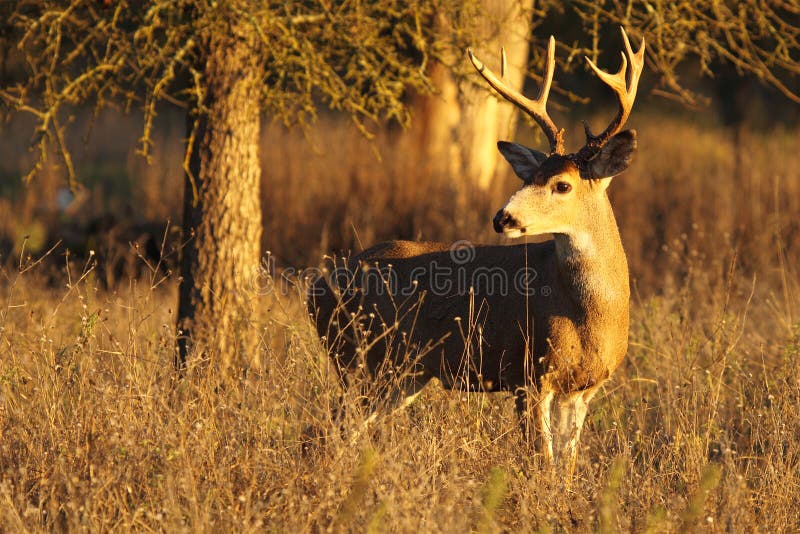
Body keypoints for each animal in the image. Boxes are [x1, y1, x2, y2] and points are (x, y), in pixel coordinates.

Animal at [307, 28, 644, 474]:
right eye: (529, 177)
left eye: (562, 185)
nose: (502, 217)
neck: (590, 315)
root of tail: (316, 287)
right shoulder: (527, 373)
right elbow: (542, 467)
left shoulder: (582, 389)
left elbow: (566, 470)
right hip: (361, 358)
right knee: (326, 428)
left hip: (402, 374)